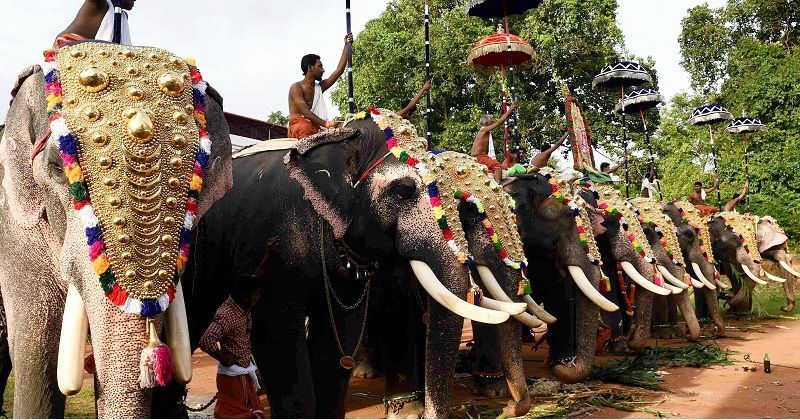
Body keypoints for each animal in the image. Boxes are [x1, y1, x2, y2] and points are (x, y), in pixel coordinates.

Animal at [183, 112, 515, 418]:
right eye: (403, 190)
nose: (511, 408)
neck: (341, 137)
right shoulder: (271, 242)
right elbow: (278, 332)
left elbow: (340, 334)